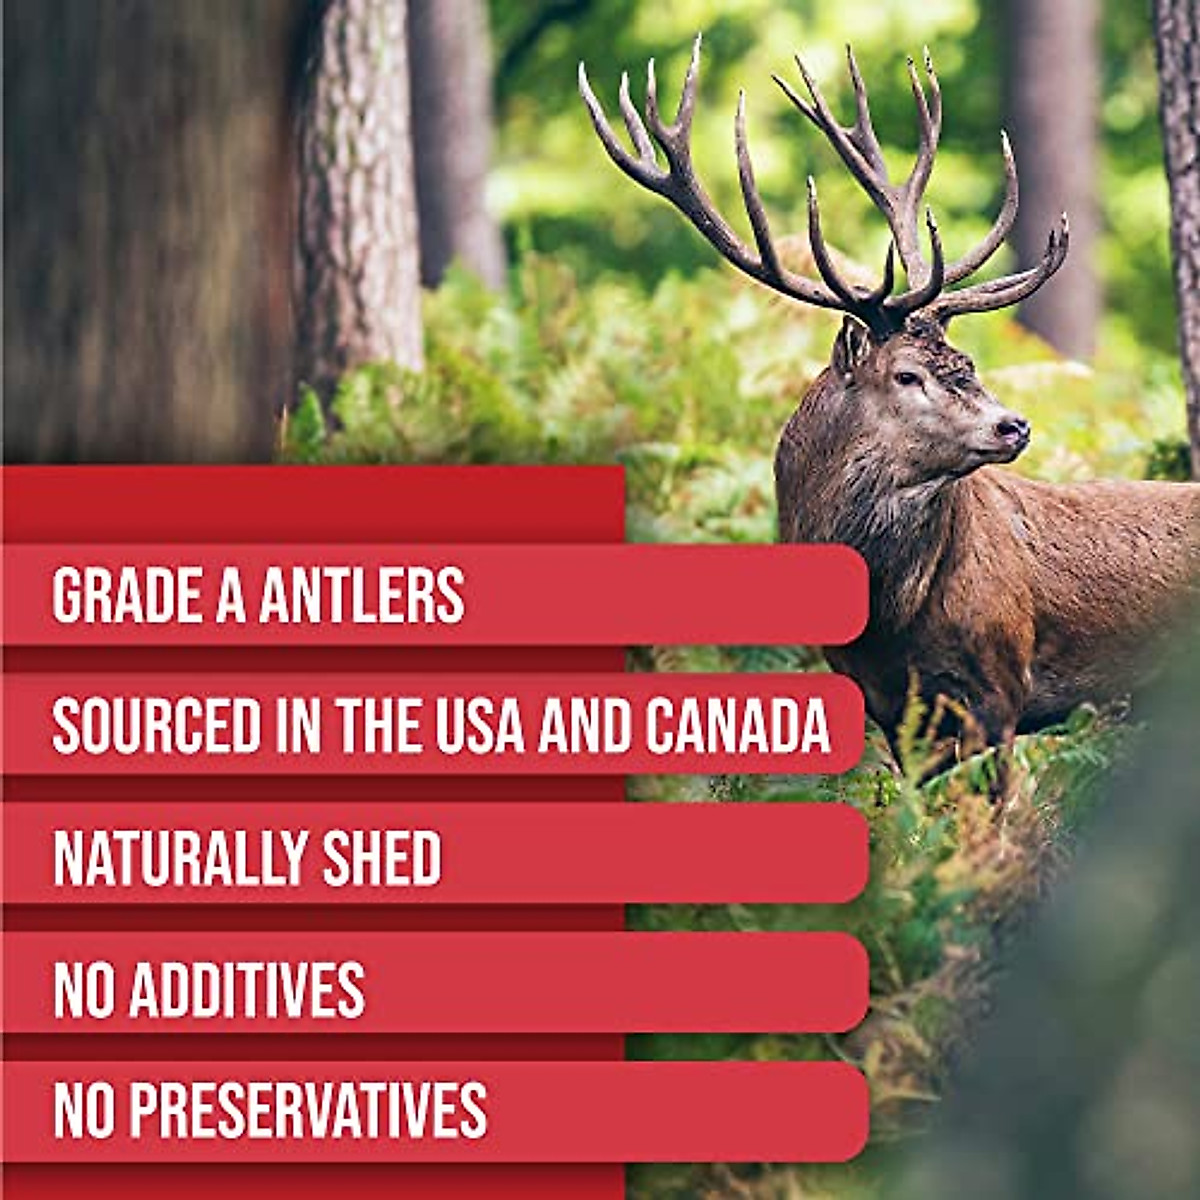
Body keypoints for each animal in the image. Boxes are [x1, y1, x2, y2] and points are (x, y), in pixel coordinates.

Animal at [580, 37, 1200, 769]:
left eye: (968, 365)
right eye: (906, 375)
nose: (1013, 425)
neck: (890, 621)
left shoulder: (1001, 685)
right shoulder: (889, 709)